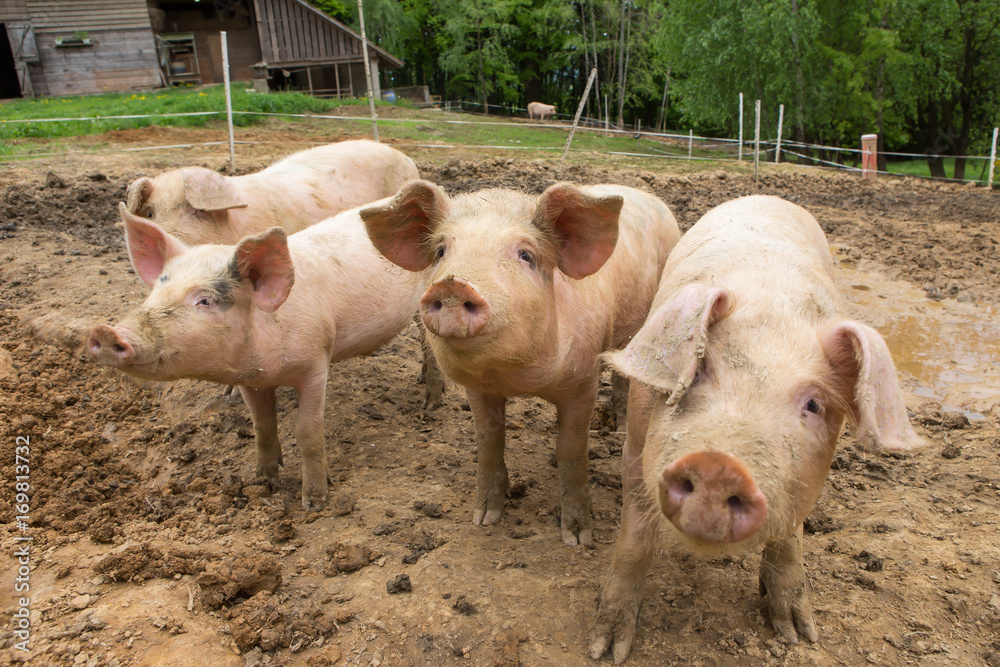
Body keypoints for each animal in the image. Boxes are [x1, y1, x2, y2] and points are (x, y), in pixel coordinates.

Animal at [89, 203, 429, 509]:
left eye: (205, 301)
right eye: (156, 292)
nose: (106, 333)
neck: (270, 368)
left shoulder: (316, 364)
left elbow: (307, 432)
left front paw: (315, 503)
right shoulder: (249, 379)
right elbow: (262, 425)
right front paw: (264, 480)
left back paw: (430, 400)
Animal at [360, 181, 680, 546]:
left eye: (526, 255)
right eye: (441, 251)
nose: (453, 284)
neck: (517, 379)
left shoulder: (583, 382)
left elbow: (572, 451)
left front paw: (577, 538)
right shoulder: (478, 390)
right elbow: (488, 444)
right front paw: (485, 519)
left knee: (624, 376)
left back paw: (620, 429)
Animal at [589, 195, 922, 663]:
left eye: (814, 404)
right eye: (698, 368)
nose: (719, 465)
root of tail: (767, 197)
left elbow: (789, 537)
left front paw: (798, 635)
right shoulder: (636, 448)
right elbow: (635, 536)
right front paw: (606, 649)